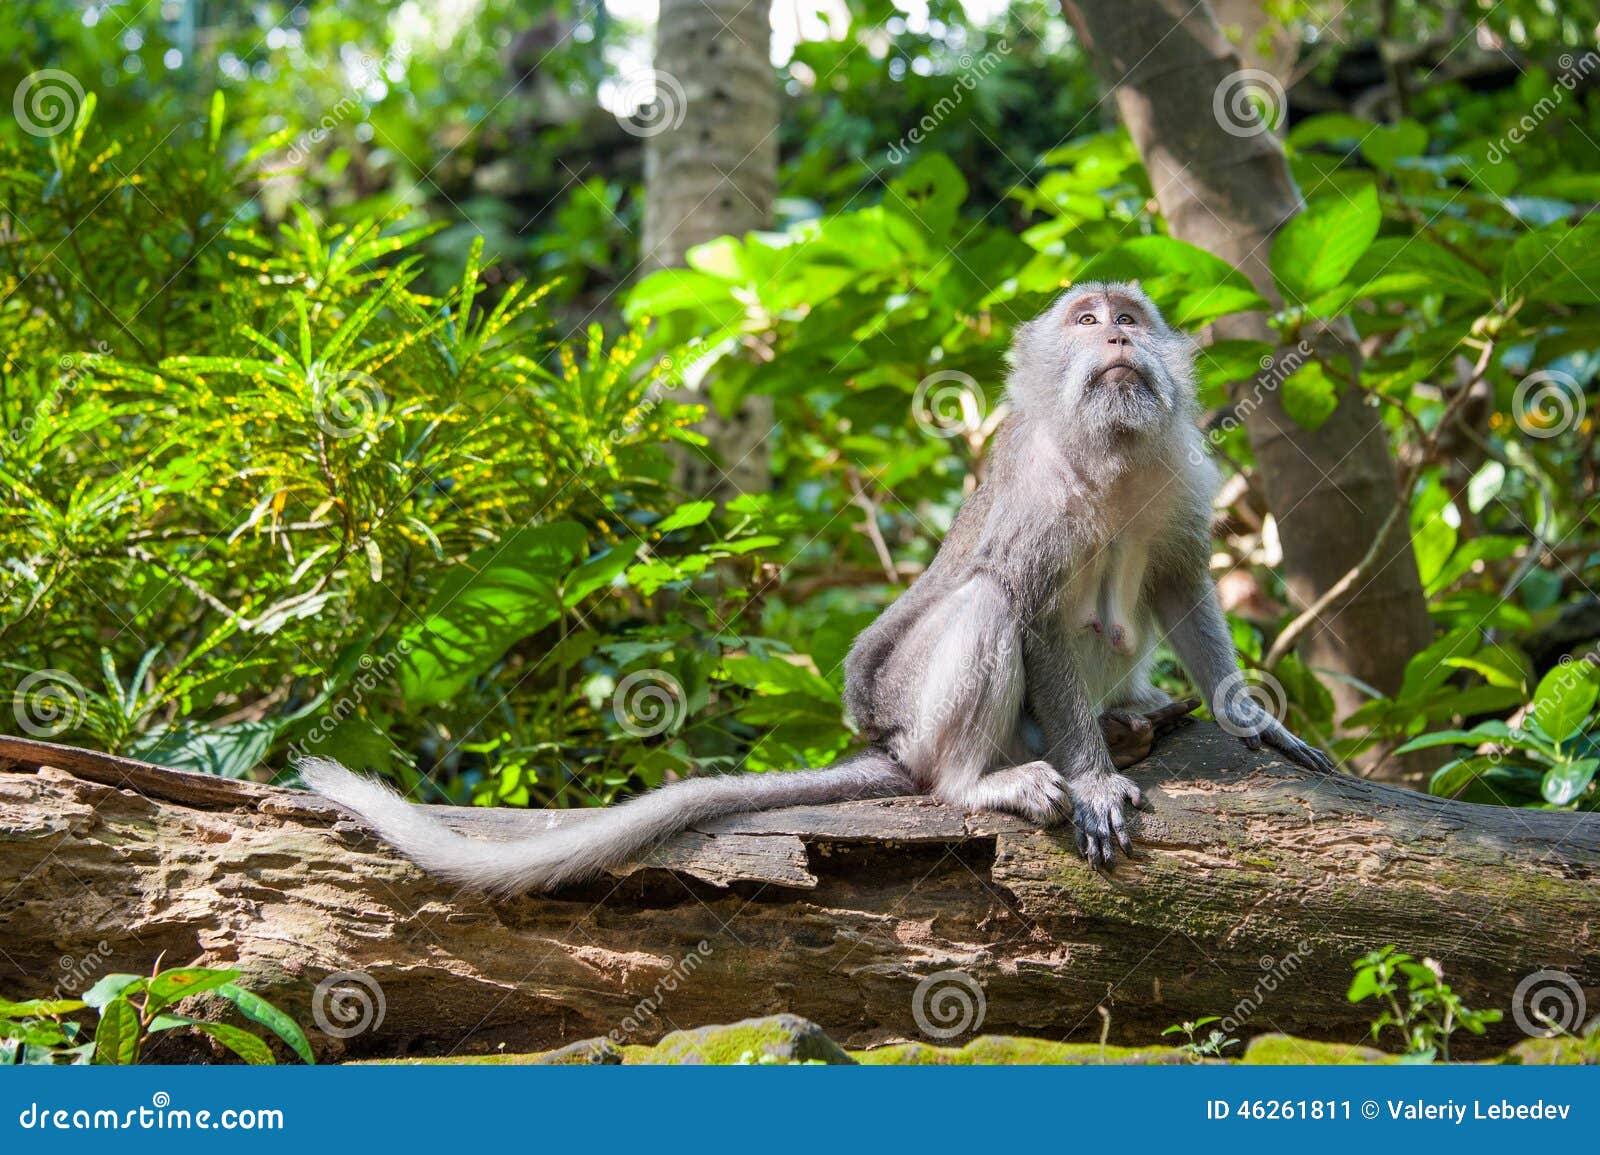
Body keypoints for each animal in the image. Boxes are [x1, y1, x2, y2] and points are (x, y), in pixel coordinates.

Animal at [301, 281, 1334, 894]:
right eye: (1087, 318)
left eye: (1132, 315)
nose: (1116, 330)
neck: (1109, 457)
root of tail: (897, 744)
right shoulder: (1037, 499)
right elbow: (1029, 607)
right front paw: (1092, 782)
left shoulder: (1182, 476)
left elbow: (1180, 583)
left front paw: (1253, 720)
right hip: (922, 709)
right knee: (984, 610)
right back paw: (981, 779)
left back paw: (1133, 713)